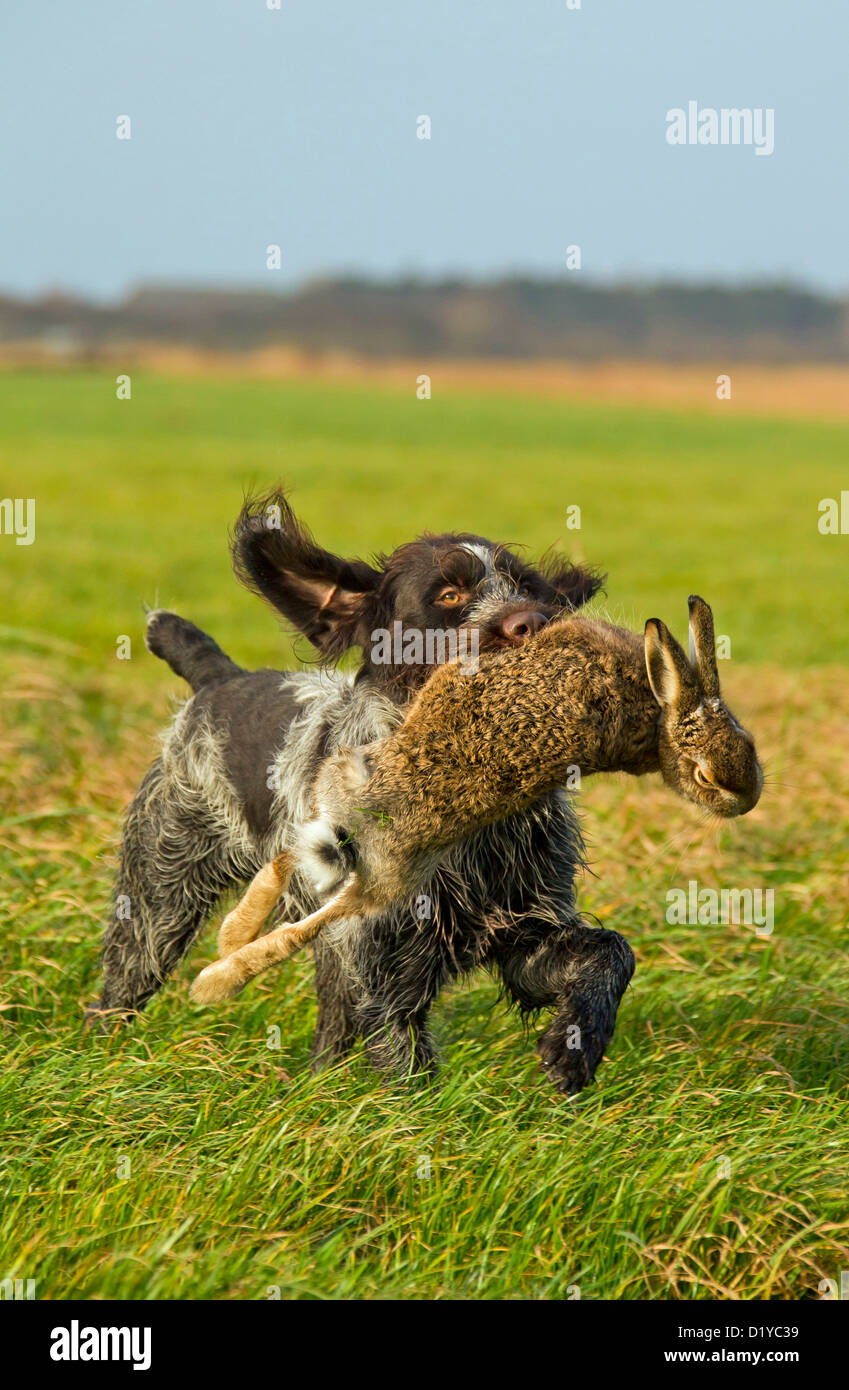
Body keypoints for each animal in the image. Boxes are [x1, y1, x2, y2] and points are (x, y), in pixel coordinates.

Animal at [190, 596, 762, 1006]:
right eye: (711, 774)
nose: (747, 801)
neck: (657, 710)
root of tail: (374, 832)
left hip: (367, 833)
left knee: (308, 905)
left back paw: (217, 972)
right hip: (345, 789)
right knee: (294, 865)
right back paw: (229, 946)